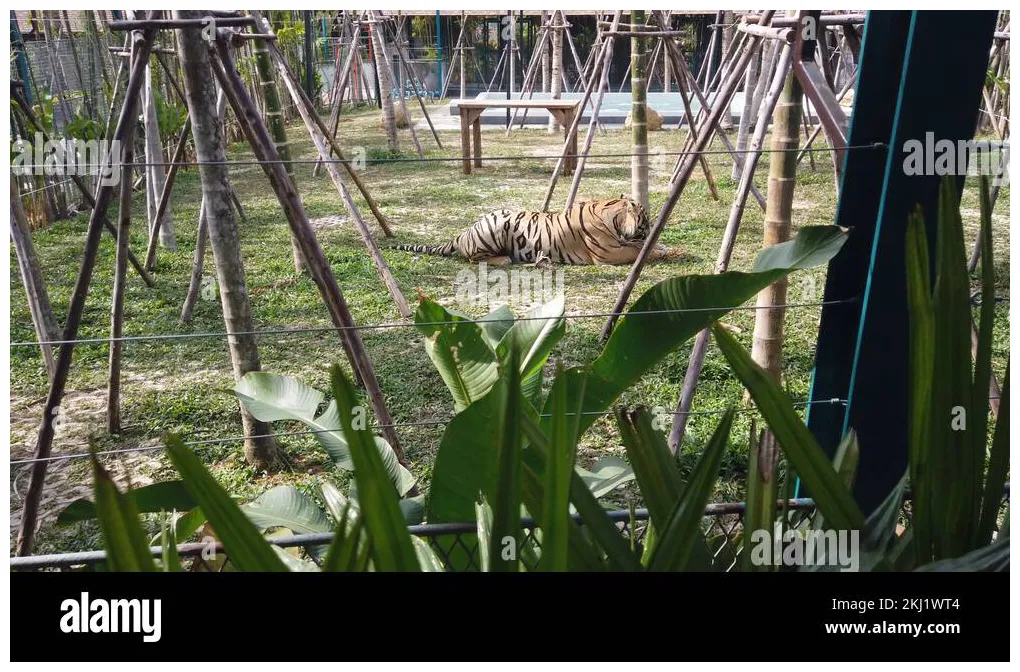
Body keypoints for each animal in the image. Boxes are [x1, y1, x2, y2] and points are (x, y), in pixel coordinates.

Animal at [390, 196, 667, 266]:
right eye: (645, 221)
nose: (650, 230)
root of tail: (463, 233)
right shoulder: (608, 254)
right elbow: (638, 251)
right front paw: (662, 251)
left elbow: (639, 246)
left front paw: (661, 246)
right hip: (496, 226)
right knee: (473, 258)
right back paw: (504, 260)